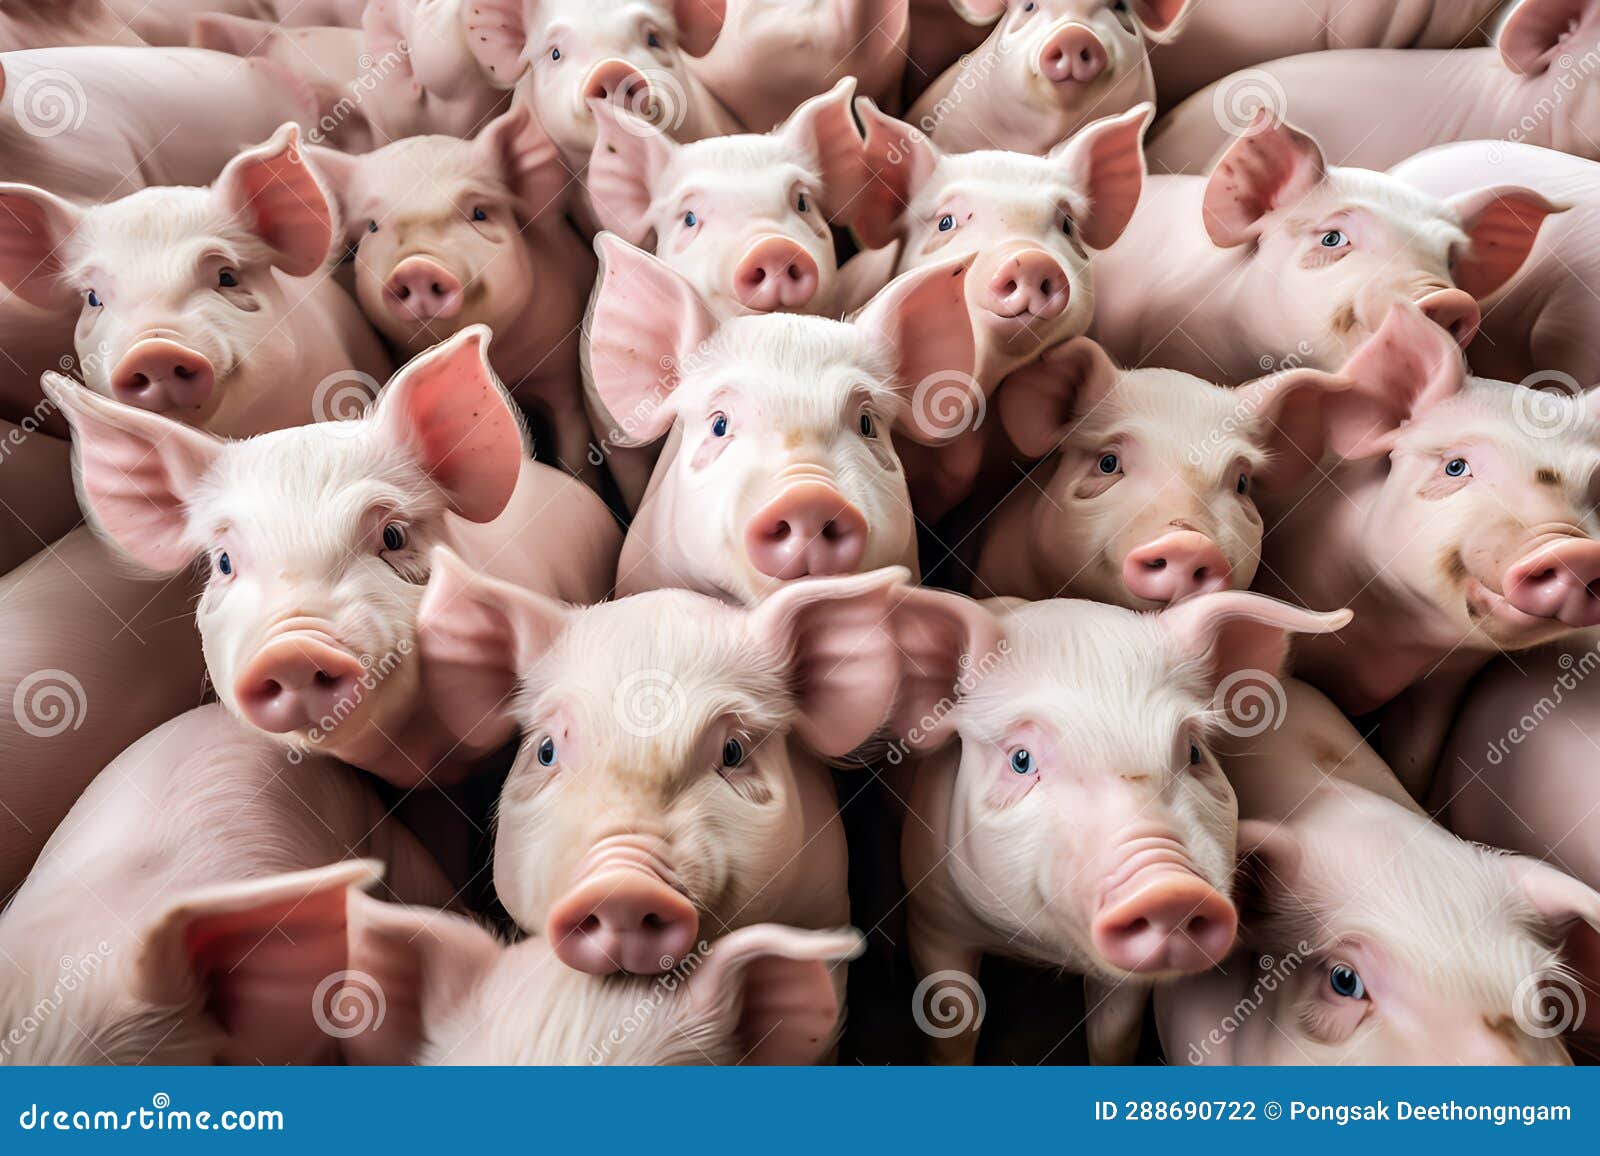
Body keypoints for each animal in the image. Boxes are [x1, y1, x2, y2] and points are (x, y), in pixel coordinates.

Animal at [310, 106, 600, 480]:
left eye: (479, 212)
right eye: (373, 226)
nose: (418, 266)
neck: (499, 359)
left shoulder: (561, 374)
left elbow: (575, 451)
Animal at [897, 589, 1351, 1063]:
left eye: (1193, 752)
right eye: (1021, 760)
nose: (1170, 888)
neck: (1038, 949)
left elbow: (1114, 1032)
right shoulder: (930, 916)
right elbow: (953, 1022)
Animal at [1250, 301, 1600, 797]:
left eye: (1595, 492)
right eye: (1456, 466)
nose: (1570, 549)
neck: (1397, 639)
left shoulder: (1443, 684)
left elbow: (1416, 757)